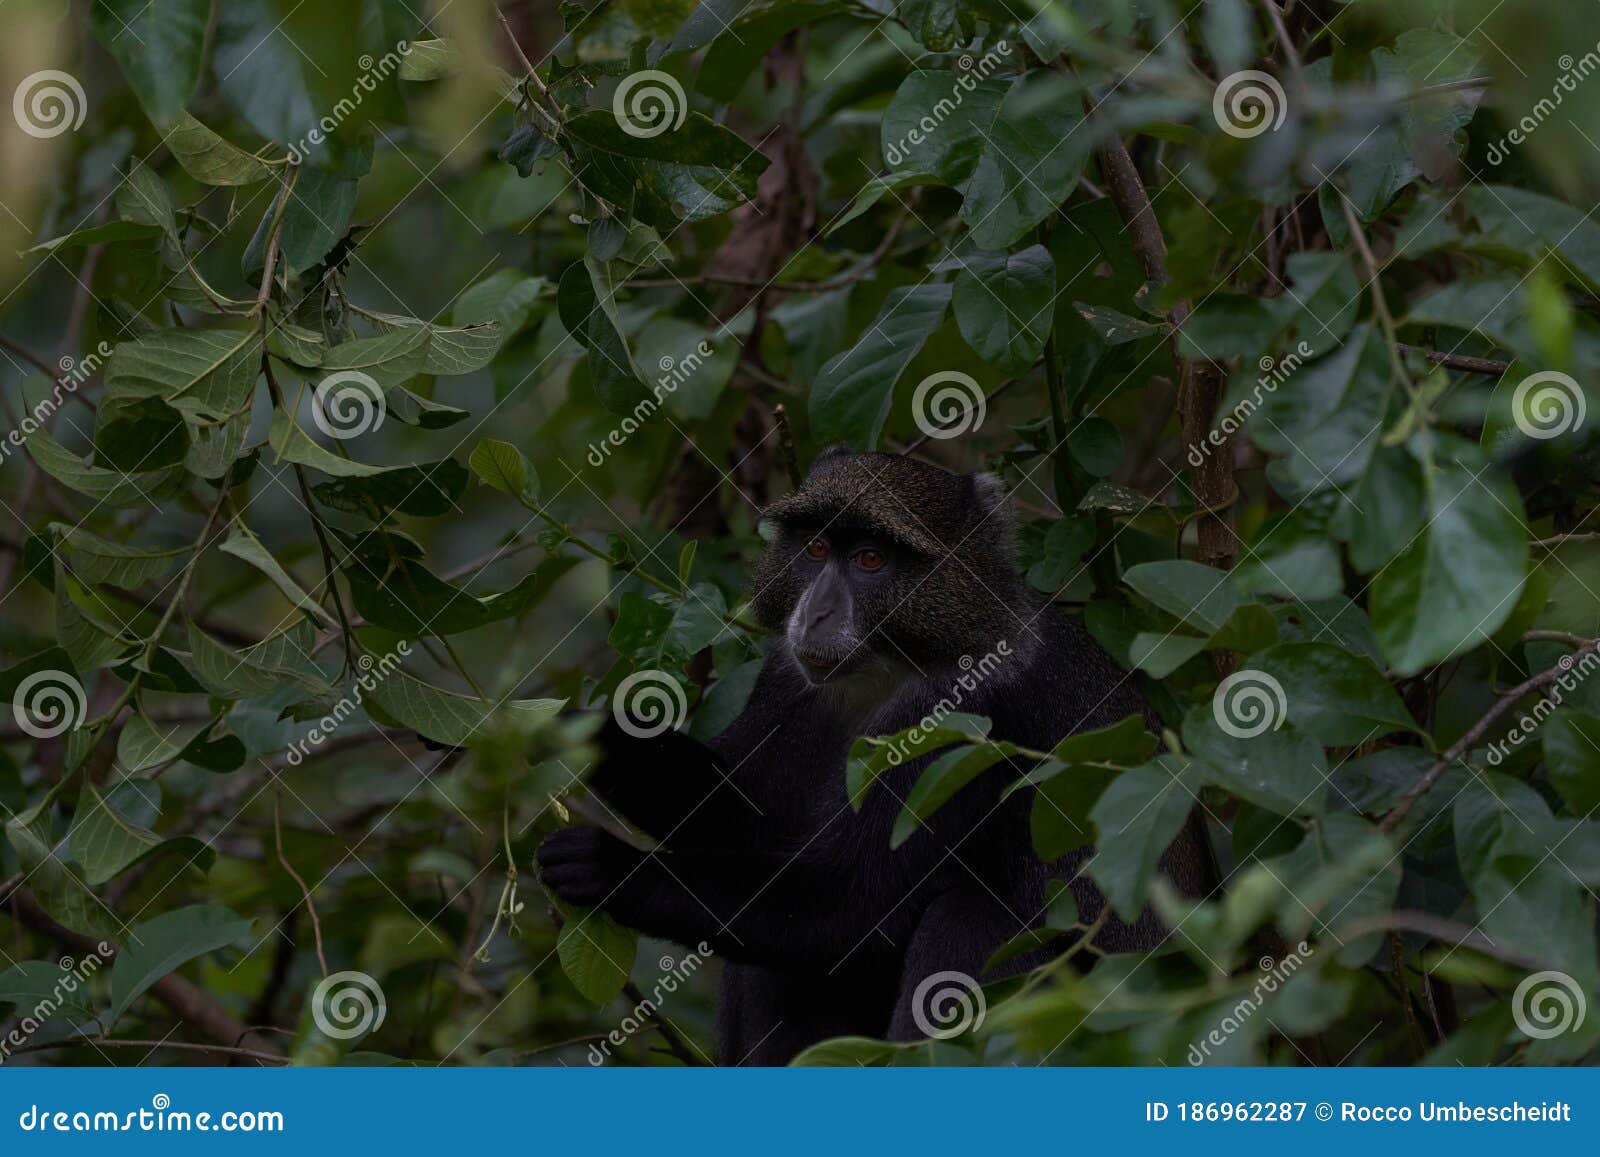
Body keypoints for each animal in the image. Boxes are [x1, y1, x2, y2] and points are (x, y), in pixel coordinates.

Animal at [537, 448, 1213, 1064]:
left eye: (870, 559)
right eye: (815, 550)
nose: (816, 613)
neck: (889, 667)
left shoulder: (963, 713)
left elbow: (846, 908)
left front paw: (607, 867)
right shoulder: (786, 679)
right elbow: (737, 818)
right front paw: (562, 726)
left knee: (973, 919)